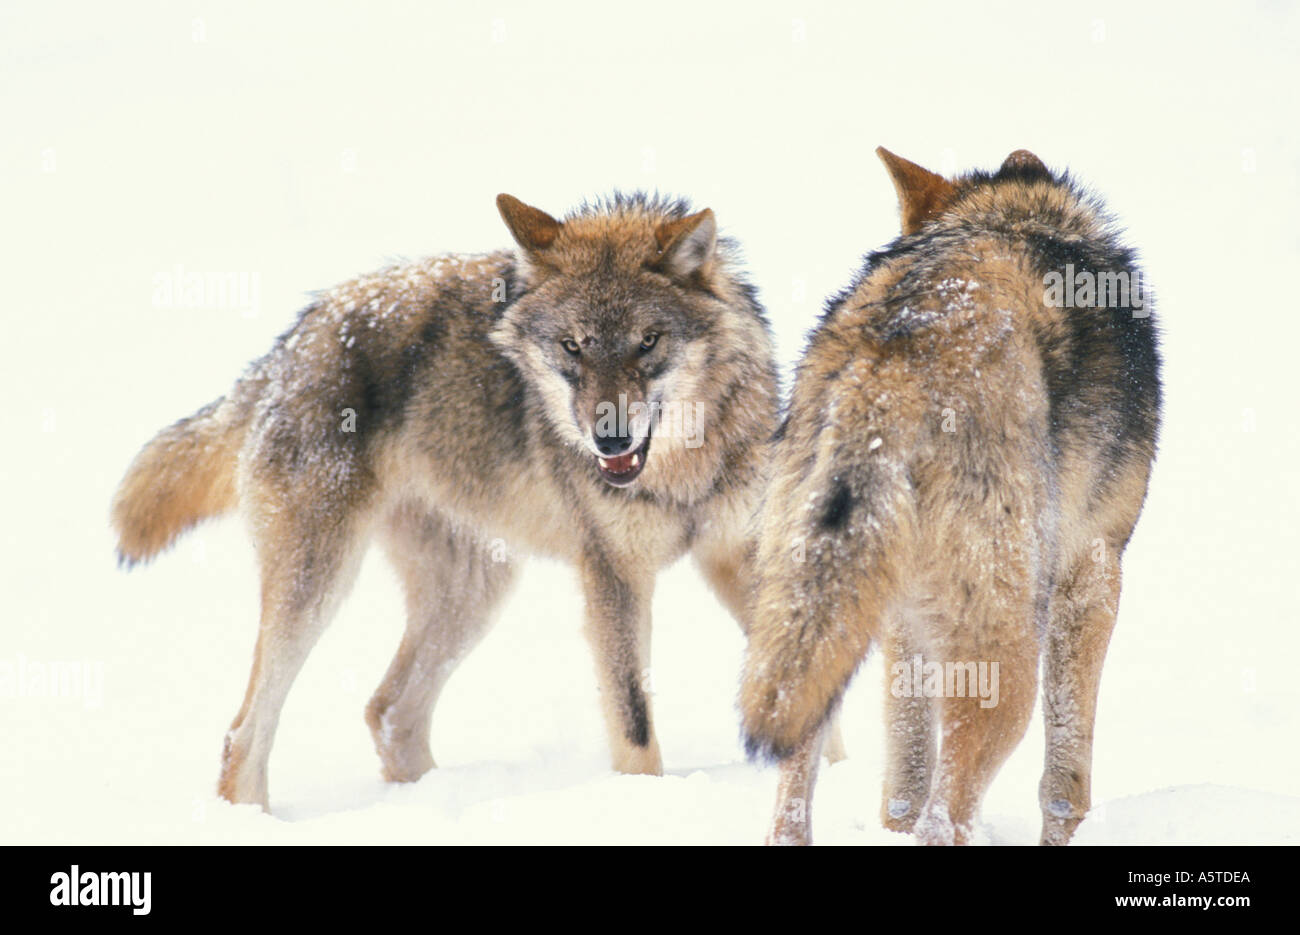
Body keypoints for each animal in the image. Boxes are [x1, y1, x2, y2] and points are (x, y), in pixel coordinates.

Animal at [113, 192, 794, 810]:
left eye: (648, 341)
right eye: (572, 346)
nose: (610, 439)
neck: (684, 470)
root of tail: (283, 351)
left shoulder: (738, 554)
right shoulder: (613, 574)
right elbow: (634, 723)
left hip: (473, 593)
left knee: (388, 710)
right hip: (320, 583)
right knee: (245, 734)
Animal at [739, 148, 1161, 845]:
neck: (1009, 214)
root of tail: (891, 363)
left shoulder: (900, 621)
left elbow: (904, 782)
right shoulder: (1095, 576)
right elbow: (1065, 781)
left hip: (808, 634)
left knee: (791, 805)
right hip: (1005, 663)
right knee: (947, 818)